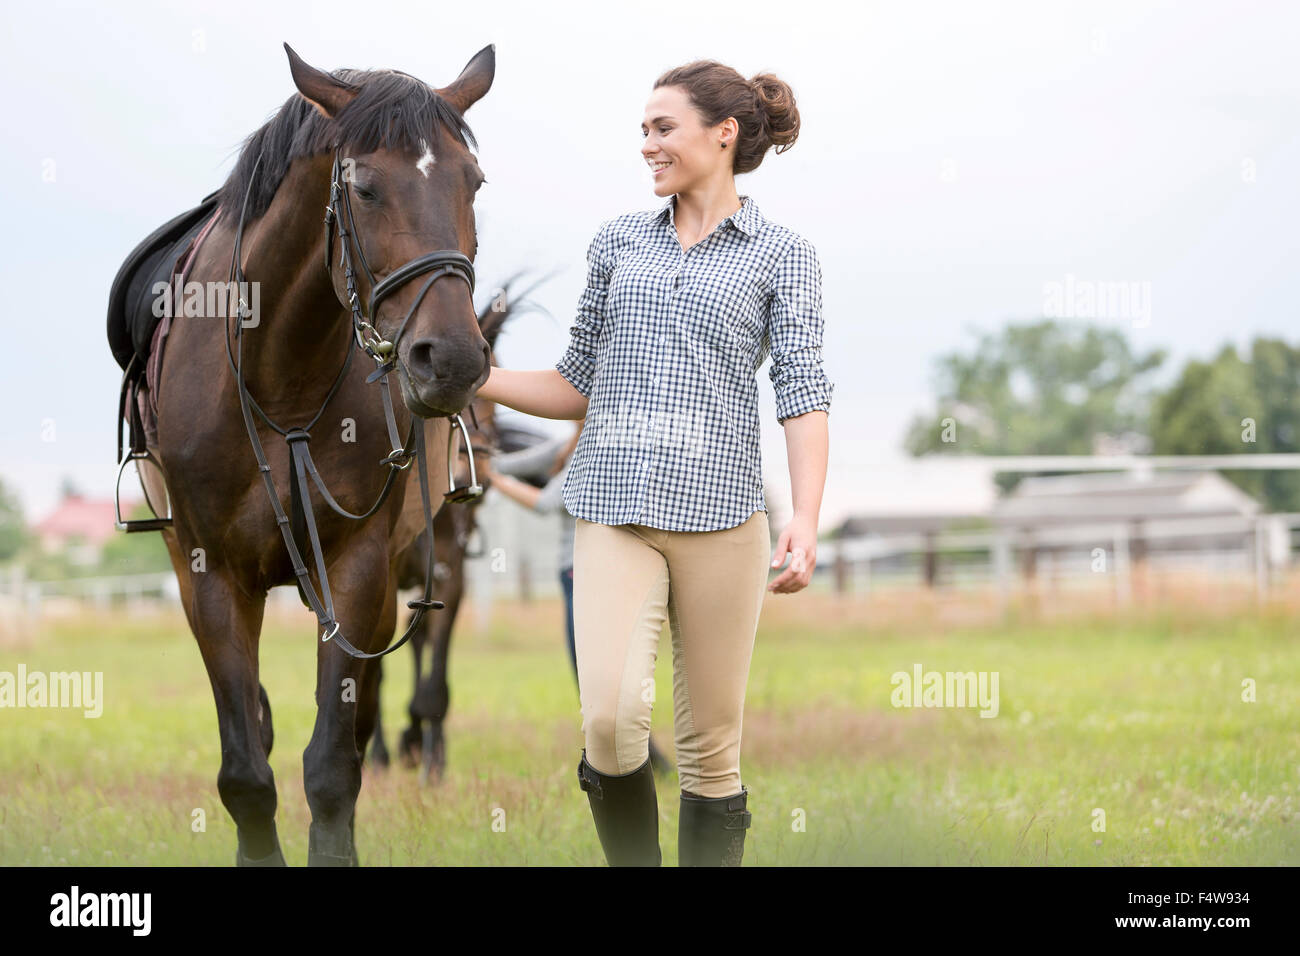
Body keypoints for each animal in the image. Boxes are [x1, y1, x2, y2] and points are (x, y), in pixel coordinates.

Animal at [115, 43, 496, 866]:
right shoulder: (212, 576)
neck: (280, 377)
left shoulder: (357, 569)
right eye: (364, 186)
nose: (451, 360)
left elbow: (331, 767)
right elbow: (245, 771)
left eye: (473, 182)